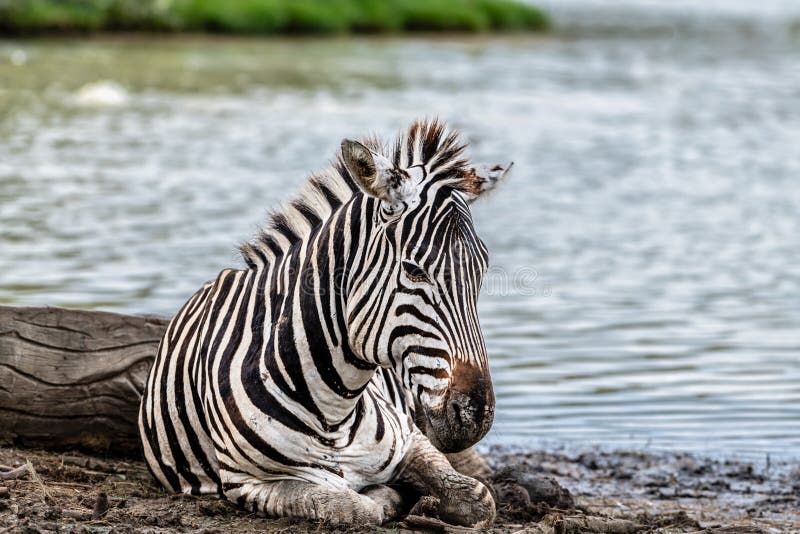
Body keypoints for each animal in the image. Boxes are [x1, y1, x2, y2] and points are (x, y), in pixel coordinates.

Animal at [138, 119, 511, 527]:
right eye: (414, 270)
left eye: (482, 271)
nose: (476, 416)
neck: (335, 409)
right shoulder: (247, 482)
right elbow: (355, 508)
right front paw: (389, 497)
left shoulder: (413, 440)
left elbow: (479, 500)